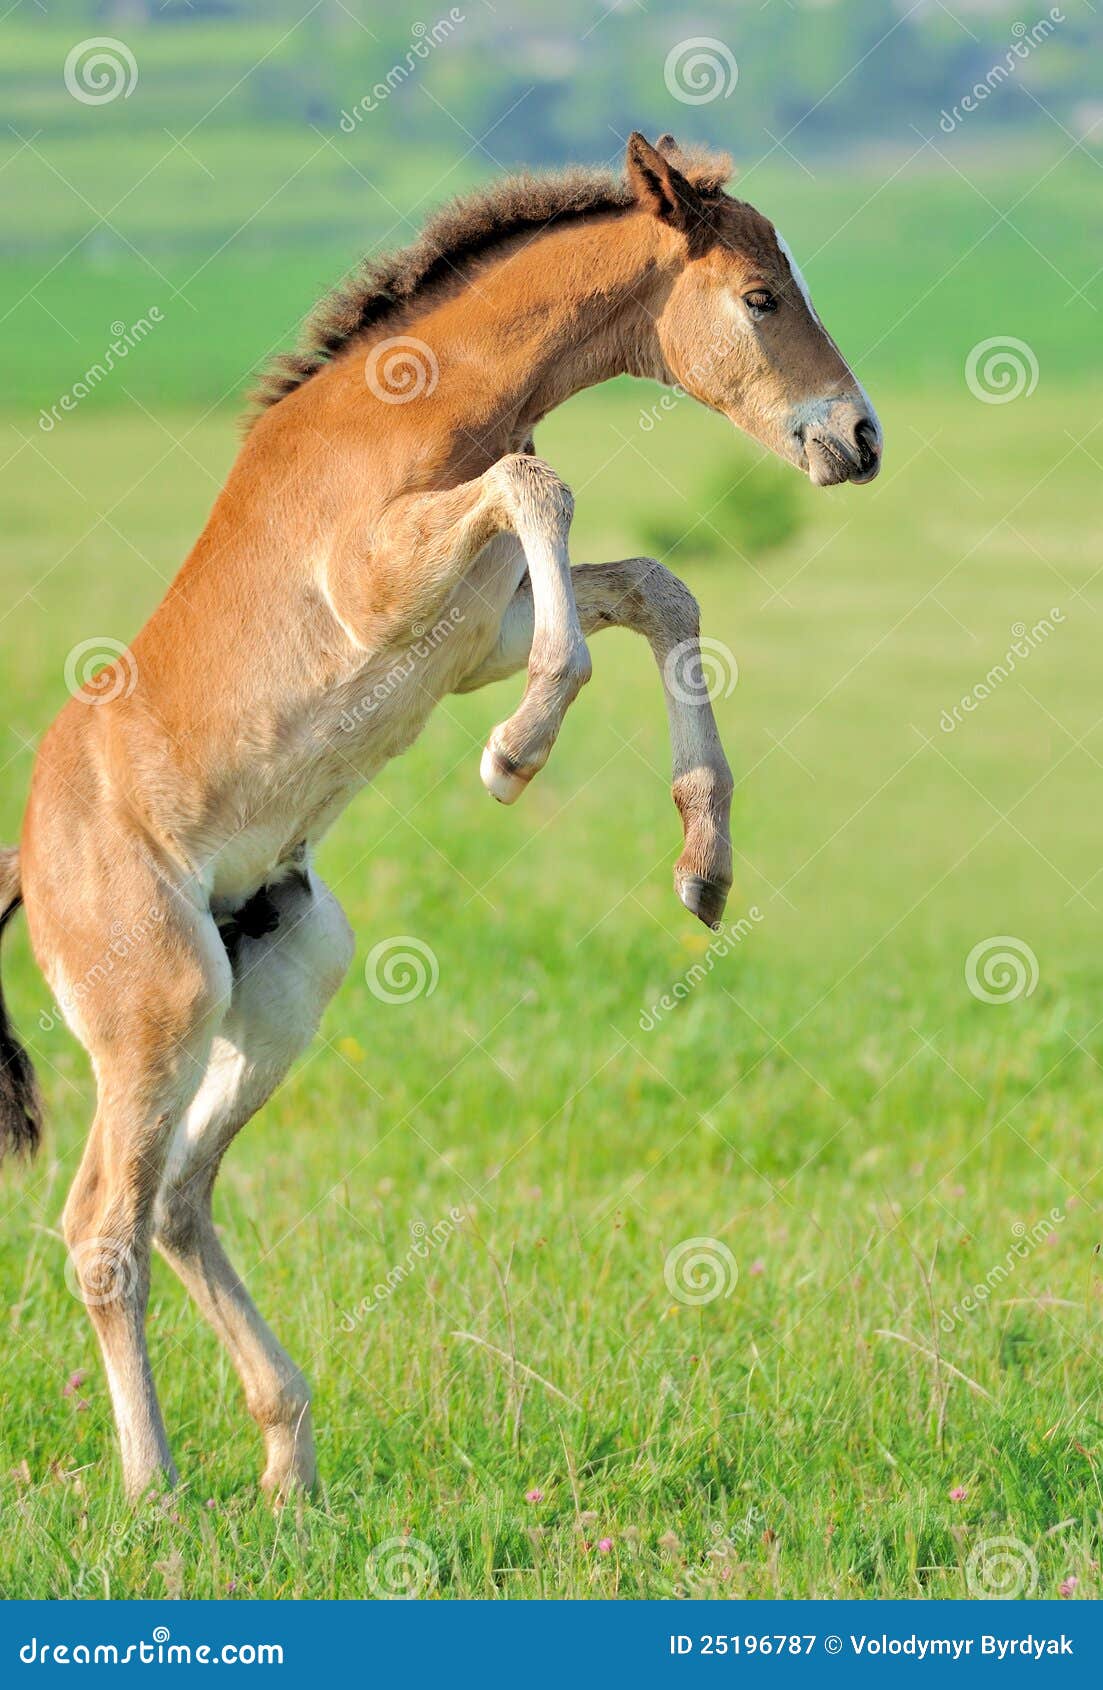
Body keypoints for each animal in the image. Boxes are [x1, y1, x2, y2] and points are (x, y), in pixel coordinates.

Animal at [0, 133, 881, 1501]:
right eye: (758, 297)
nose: (855, 436)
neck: (415, 402)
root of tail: (29, 860)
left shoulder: (478, 631)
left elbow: (654, 589)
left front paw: (702, 864)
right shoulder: (386, 590)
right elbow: (539, 487)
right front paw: (515, 758)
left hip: (282, 983)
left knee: (179, 1198)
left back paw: (288, 1466)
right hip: (155, 1010)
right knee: (103, 1228)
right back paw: (156, 1493)